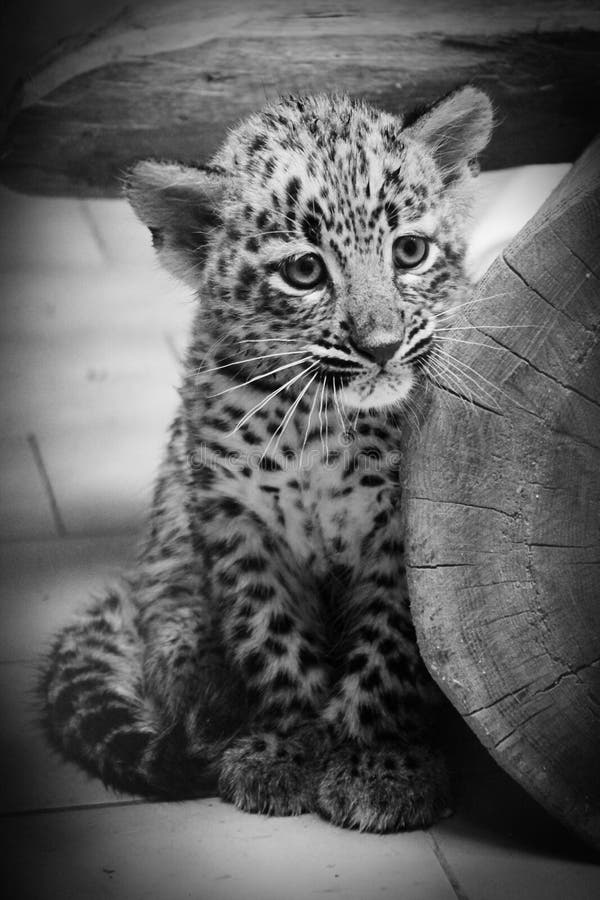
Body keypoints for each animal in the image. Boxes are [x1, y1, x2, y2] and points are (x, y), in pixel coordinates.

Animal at [40, 86, 493, 833]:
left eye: (410, 251)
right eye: (305, 271)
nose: (381, 346)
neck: (319, 428)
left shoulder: (400, 529)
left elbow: (391, 648)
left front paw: (378, 760)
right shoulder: (239, 521)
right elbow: (269, 636)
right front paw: (290, 746)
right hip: (171, 541)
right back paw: (210, 706)